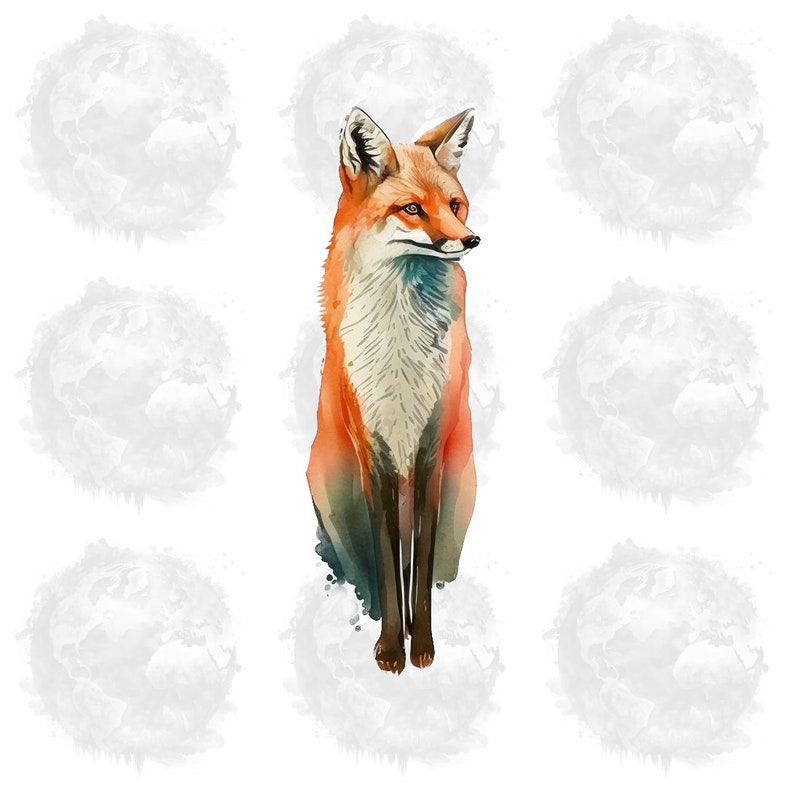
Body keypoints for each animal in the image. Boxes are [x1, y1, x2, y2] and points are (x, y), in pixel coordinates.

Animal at [307, 107, 479, 674]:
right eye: (412, 209)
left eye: (454, 206)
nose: (471, 240)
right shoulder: (373, 454)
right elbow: (388, 562)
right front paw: (389, 647)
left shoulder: (431, 450)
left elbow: (418, 567)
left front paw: (420, 643)